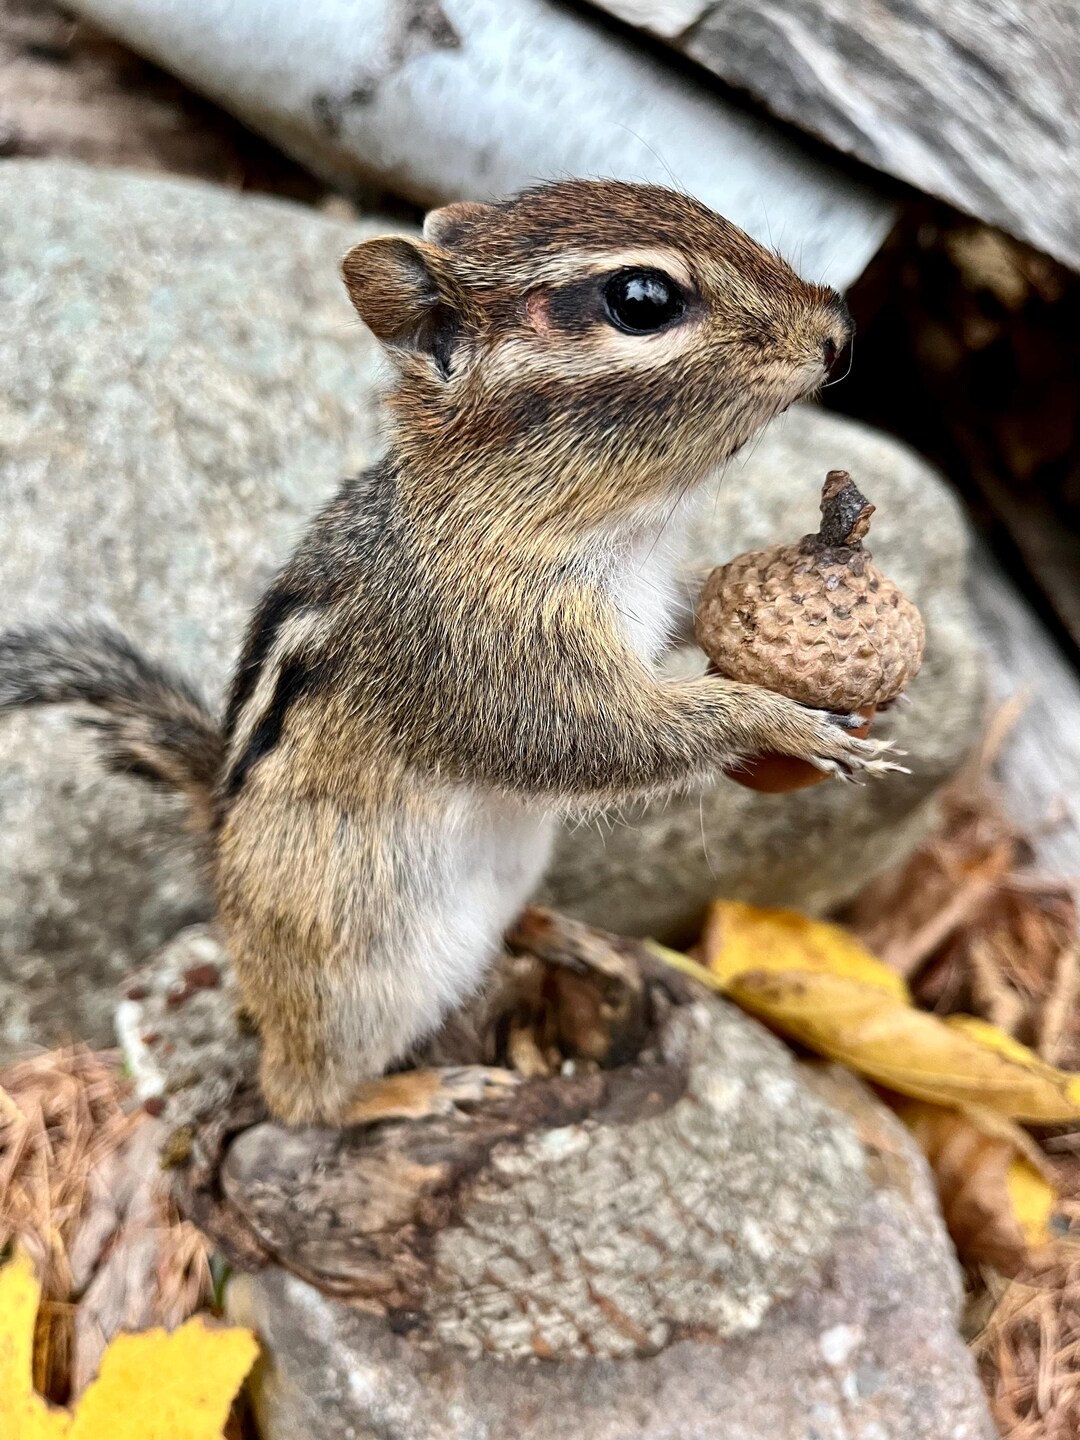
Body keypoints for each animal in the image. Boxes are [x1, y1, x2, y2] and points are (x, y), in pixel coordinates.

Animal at [0, 179, 899, 1127]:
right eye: (642, 300)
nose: (837, 329)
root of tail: (215, 842)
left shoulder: (646, 597)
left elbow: (685, 614)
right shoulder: (488, 658)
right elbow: (595, 741)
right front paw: (786, 722)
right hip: (357, 982)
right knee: (299, 1100)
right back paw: (418, 1090)